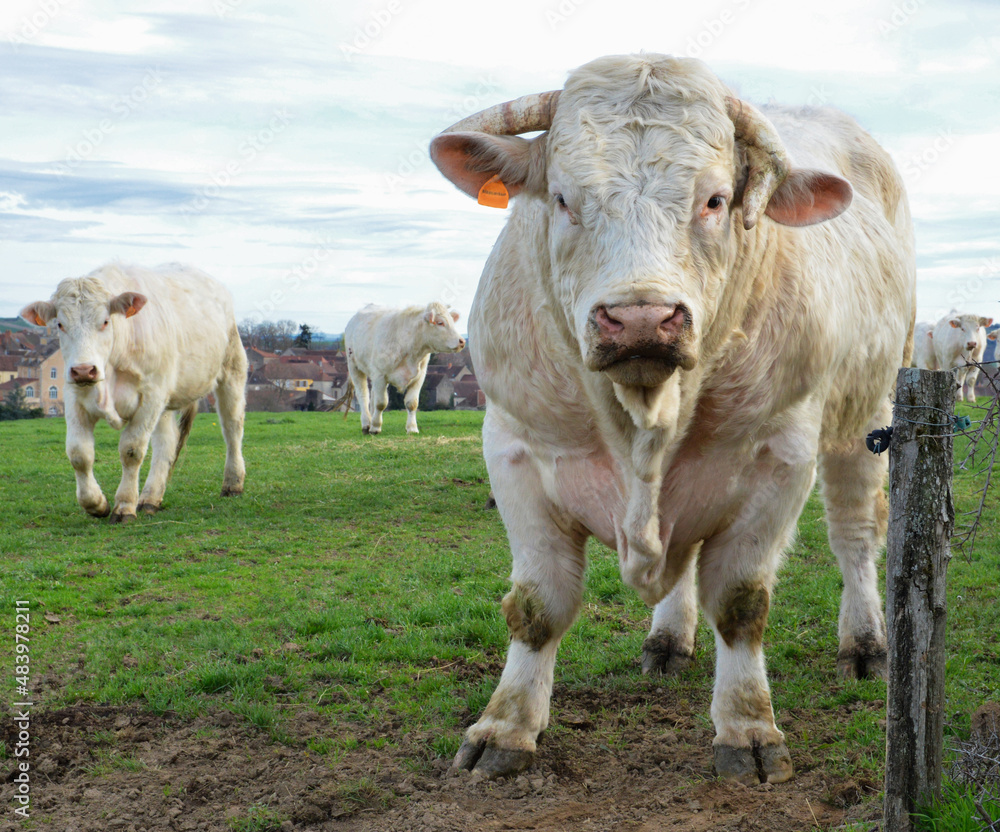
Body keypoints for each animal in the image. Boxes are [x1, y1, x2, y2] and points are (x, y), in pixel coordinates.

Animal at [20, 263, 247, 522]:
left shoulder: (150, 396)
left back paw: (233, 483)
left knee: (232, 427)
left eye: (105, 321)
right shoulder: (75, 397)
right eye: (60, 324)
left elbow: (132, 450)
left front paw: (125, 506)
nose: (84, 370)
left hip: (231, 371)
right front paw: (96, 503)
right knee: (166, 443)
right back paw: (150, 498)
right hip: (165, 401)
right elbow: (79, 454)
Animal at [340, 302, 465, 434]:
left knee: (373, 395)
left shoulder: (419, 377)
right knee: (363, 395)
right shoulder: (380, 375)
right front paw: (375, 427)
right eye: (440, 322)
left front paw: (412, 428)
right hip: (354, 367)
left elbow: (412, 403)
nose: (462, 341)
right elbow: (381, 403)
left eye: (452, 320)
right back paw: (366, 424)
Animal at [429, 54, 915, 785]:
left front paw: (747, 727)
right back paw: (667, 638)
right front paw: (505, 727)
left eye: (714, 200)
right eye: (563, 199)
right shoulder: (515, 446)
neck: (640, 412)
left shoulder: (780, 454)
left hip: (867, 412)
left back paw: (863, 644)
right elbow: (539, 606)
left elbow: (742, 602)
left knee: (855, 534)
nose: (640, 319)